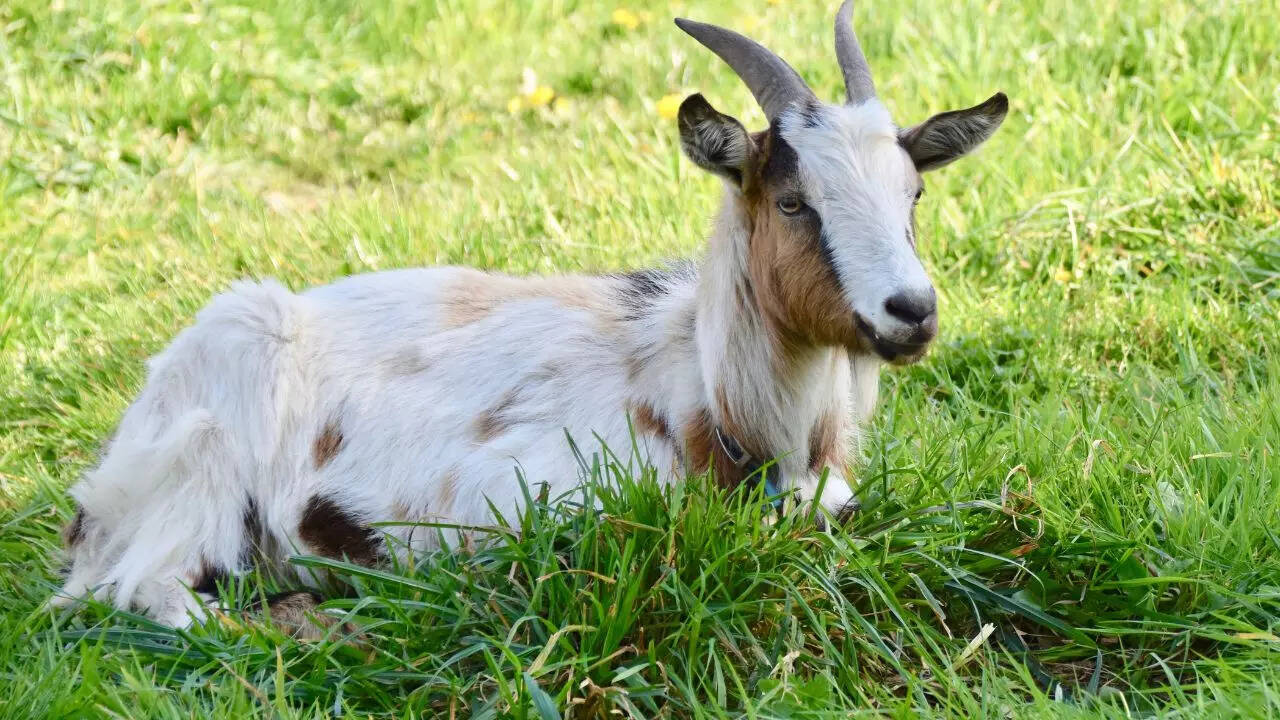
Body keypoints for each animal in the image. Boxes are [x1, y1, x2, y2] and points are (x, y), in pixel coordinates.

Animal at [51, 2, 1007, 628]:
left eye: (914, 193)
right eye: (794, 202)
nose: (911, 311)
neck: (714, 401)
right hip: (205, 465)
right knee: (147, 590)